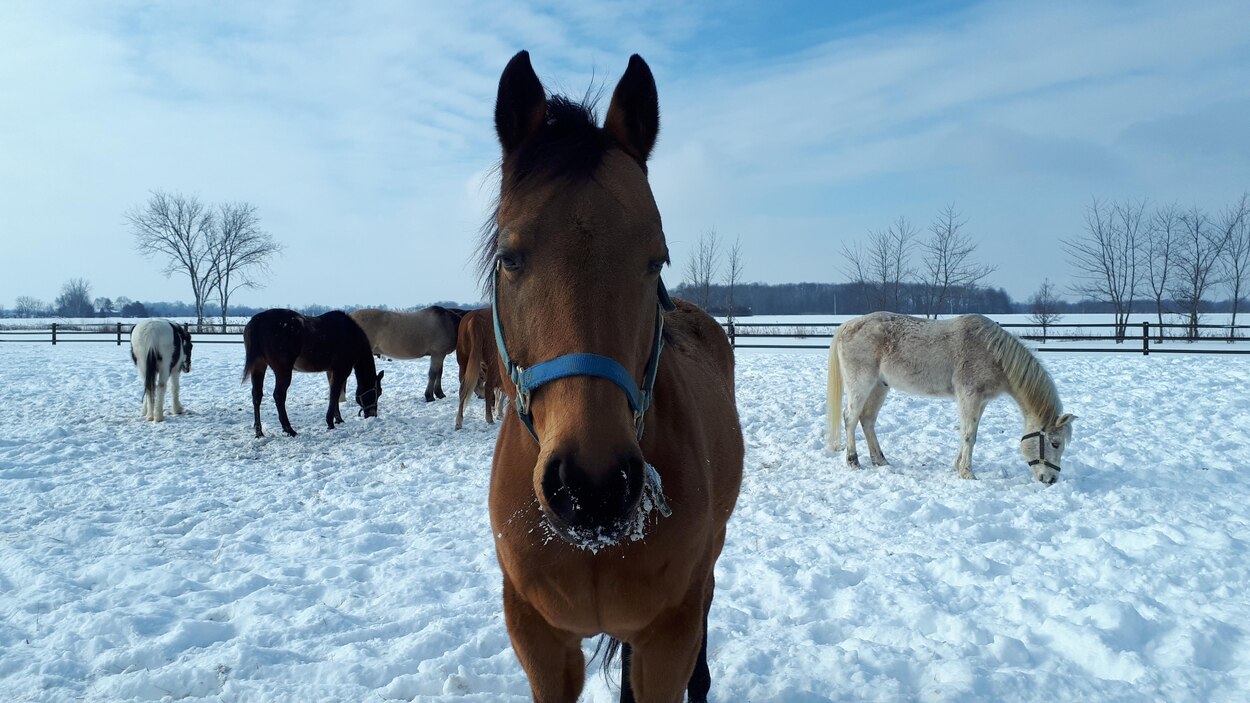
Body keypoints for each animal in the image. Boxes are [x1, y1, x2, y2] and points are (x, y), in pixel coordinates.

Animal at [242, 309, 383, 438]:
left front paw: (338, 419)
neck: (353, 336)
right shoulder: (342, 370)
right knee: (279, 396)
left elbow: (334, 393)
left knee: (257, 396)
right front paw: (330, 423)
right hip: (283, 371)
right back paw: (289, 429)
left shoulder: (331, 371)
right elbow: (334, 394)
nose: (373, 414)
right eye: (378, 392)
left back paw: (259, 432)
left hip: (259, 366)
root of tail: (258, 321)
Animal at [827, 311, 1076, 483]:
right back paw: (853, 461)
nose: (1051, 480)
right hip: (861, 385)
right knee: (850, 417)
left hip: (880, 387)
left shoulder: (980, 401)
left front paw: (958, 466)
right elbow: (968, 435)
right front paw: (967, 473)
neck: (993, 354)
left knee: (867, 420)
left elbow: (969, 433)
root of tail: (849, 324)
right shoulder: (969, 396)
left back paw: (880, 460)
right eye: (1054, 443)